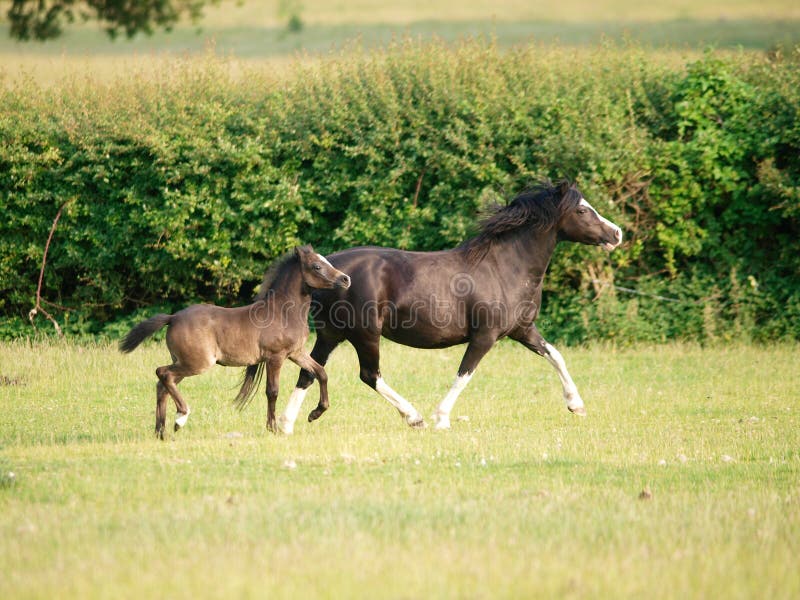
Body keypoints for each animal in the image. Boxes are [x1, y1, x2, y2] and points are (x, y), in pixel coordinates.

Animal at [119, 245, 351, 439]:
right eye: (317, 266)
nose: (345, 279)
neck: (283, 312)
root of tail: (173, 317)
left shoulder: (296, 353)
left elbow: (320, 372)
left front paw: (315, 413)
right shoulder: (275, 357)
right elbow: (272, 391)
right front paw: (273, 428)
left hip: (183, 362)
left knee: (162, 384)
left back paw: (161, 432)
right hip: (197, 363)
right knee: (163, 373)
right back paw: (181, 418)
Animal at [242, 180, 623, 433]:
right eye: (583, 209)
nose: (617, 234)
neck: (505, 267)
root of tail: (332, 270)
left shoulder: (522, 330)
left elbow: (555, 355)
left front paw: (576, 405)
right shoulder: (485, 336)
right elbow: (464, 374)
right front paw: (441, 418)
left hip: (332, 335)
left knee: (311, 370)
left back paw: (287, 424)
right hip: (365, 334)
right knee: (369, 375)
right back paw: (415, 417)